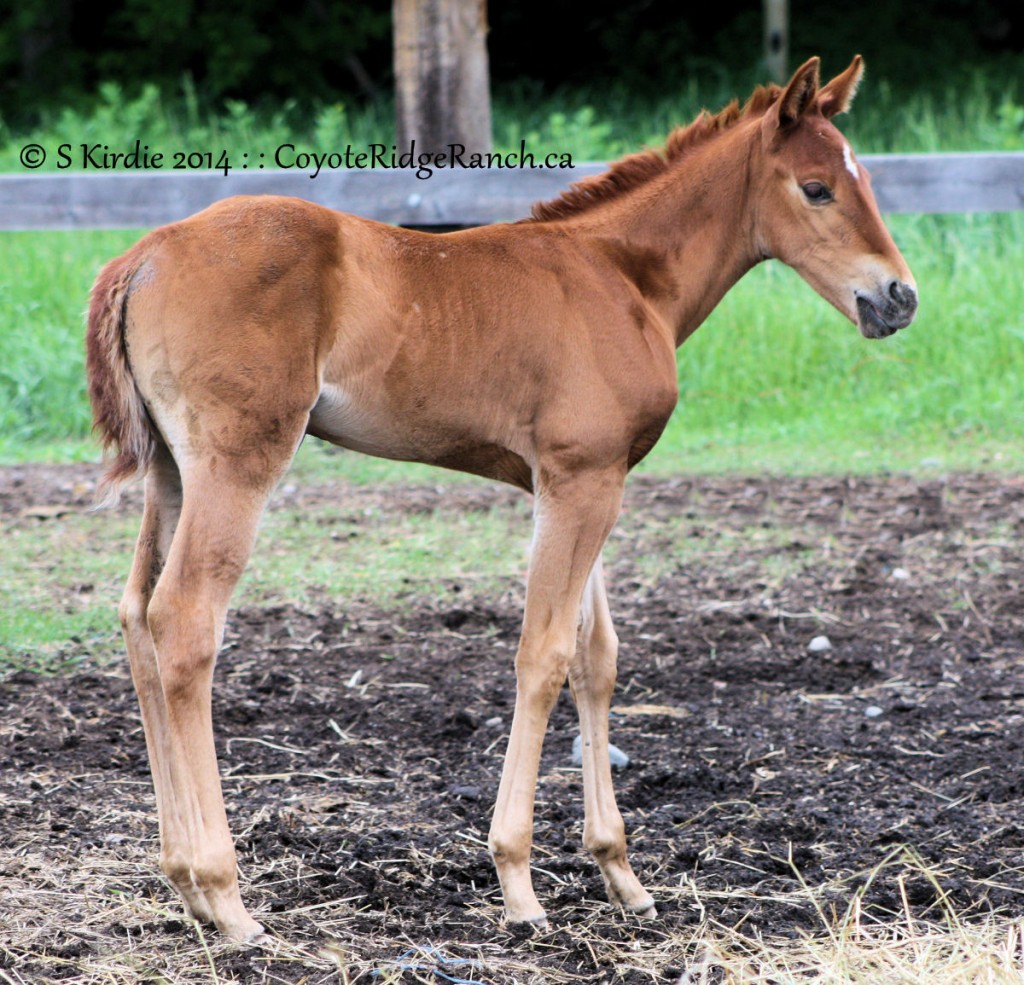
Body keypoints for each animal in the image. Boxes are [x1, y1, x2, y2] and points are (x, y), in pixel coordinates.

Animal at [86, 56, 917, 940]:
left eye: (864, 179)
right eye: (818, 188)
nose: (898, 297)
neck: (624, 276)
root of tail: (142, 255)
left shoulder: (588, 478)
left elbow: (596, 658)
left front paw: (620, 873)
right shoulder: (578, 481)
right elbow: (543, 655)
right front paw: (518, 883)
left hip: (172, 471)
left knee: (137, 614)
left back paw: (183, 881)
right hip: (238, 461)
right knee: (185, 619)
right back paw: (227, 895)